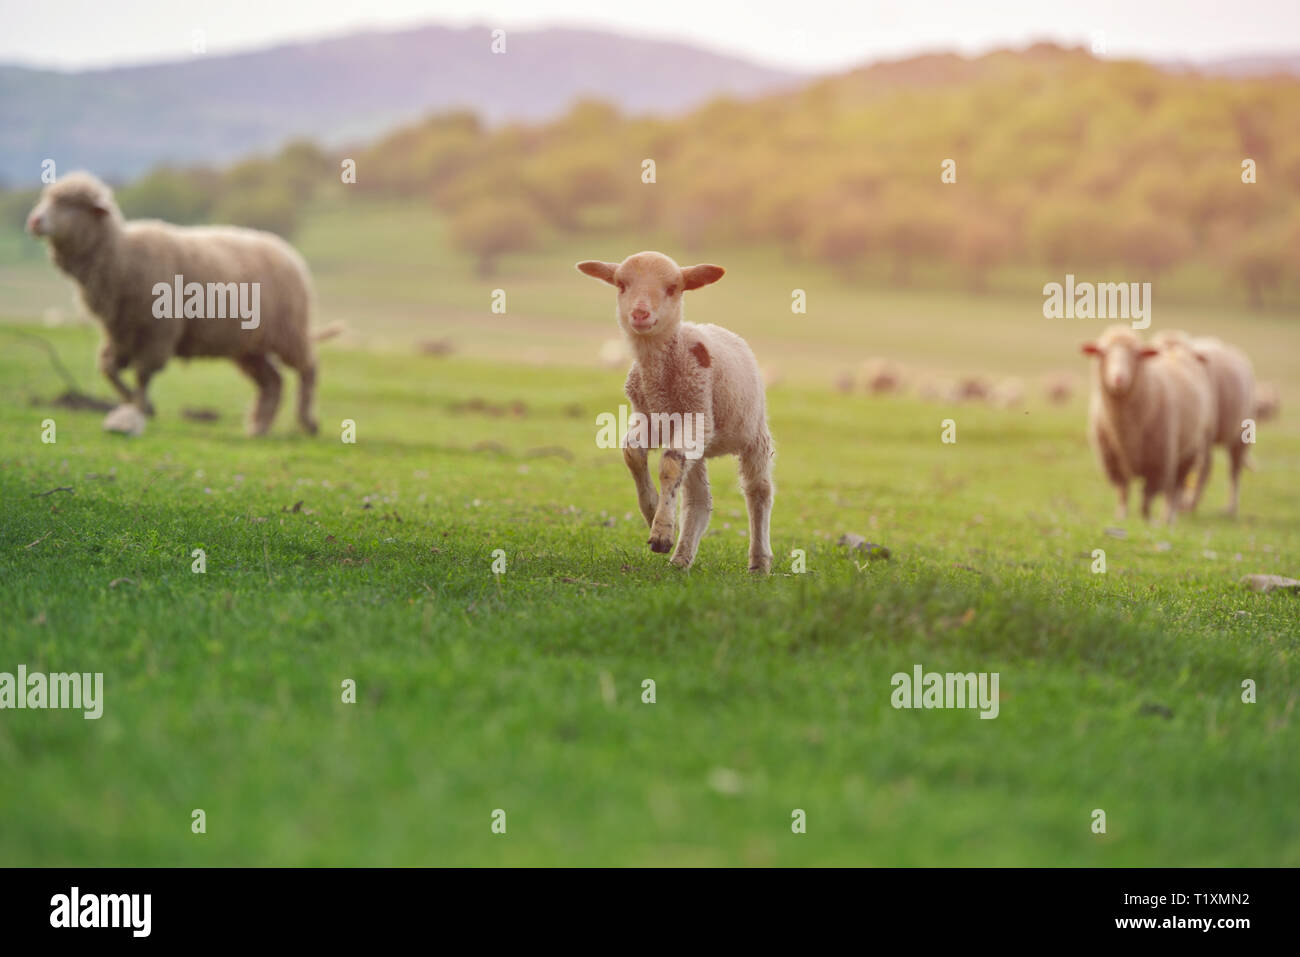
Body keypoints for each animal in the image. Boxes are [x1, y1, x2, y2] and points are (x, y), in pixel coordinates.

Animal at [27, 171, 331, 436]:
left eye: (70, 204)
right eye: (47, 198)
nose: (34, 221)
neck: (121, 255)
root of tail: (286, 250)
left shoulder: (157, 331)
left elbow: (142, 374)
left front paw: (139, 411)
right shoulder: (121, 332)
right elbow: (109, 369)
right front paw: (140, 405)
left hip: (288, 330)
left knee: (308, 368)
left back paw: (308, 422)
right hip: (248, 345)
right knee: (272, 381)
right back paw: (259, 427)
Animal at [577, 251, 775, 572]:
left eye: (672, 287)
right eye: (621, 284)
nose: (640, 314)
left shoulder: (697, 415)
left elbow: (669, 464)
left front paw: (660, 533)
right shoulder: (651, 420)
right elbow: (632, 452)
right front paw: (651, 511)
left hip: (753, 434)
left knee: (759, 492)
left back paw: (759, 562)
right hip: (700, 447)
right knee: (699, 500)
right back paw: (681, 558)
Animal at [1081, 325, 1214, 524]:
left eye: (1136, 354)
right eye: (1102, 352)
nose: (1118, 379)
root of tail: (1176, 350)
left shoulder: (1157, 464)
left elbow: (1147, 498)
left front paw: (1147, 520)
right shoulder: (1114, 462)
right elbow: (1123, 492)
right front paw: (1121, 517)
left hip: (1188, 452)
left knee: (1176, 489)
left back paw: (1169, 518)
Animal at [1152, 330, 1256, 515]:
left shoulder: (1203, 433)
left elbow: (1201, 468)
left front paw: (1185, 505)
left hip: (1239, 434)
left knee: (1232, 470)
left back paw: (1230, 508)